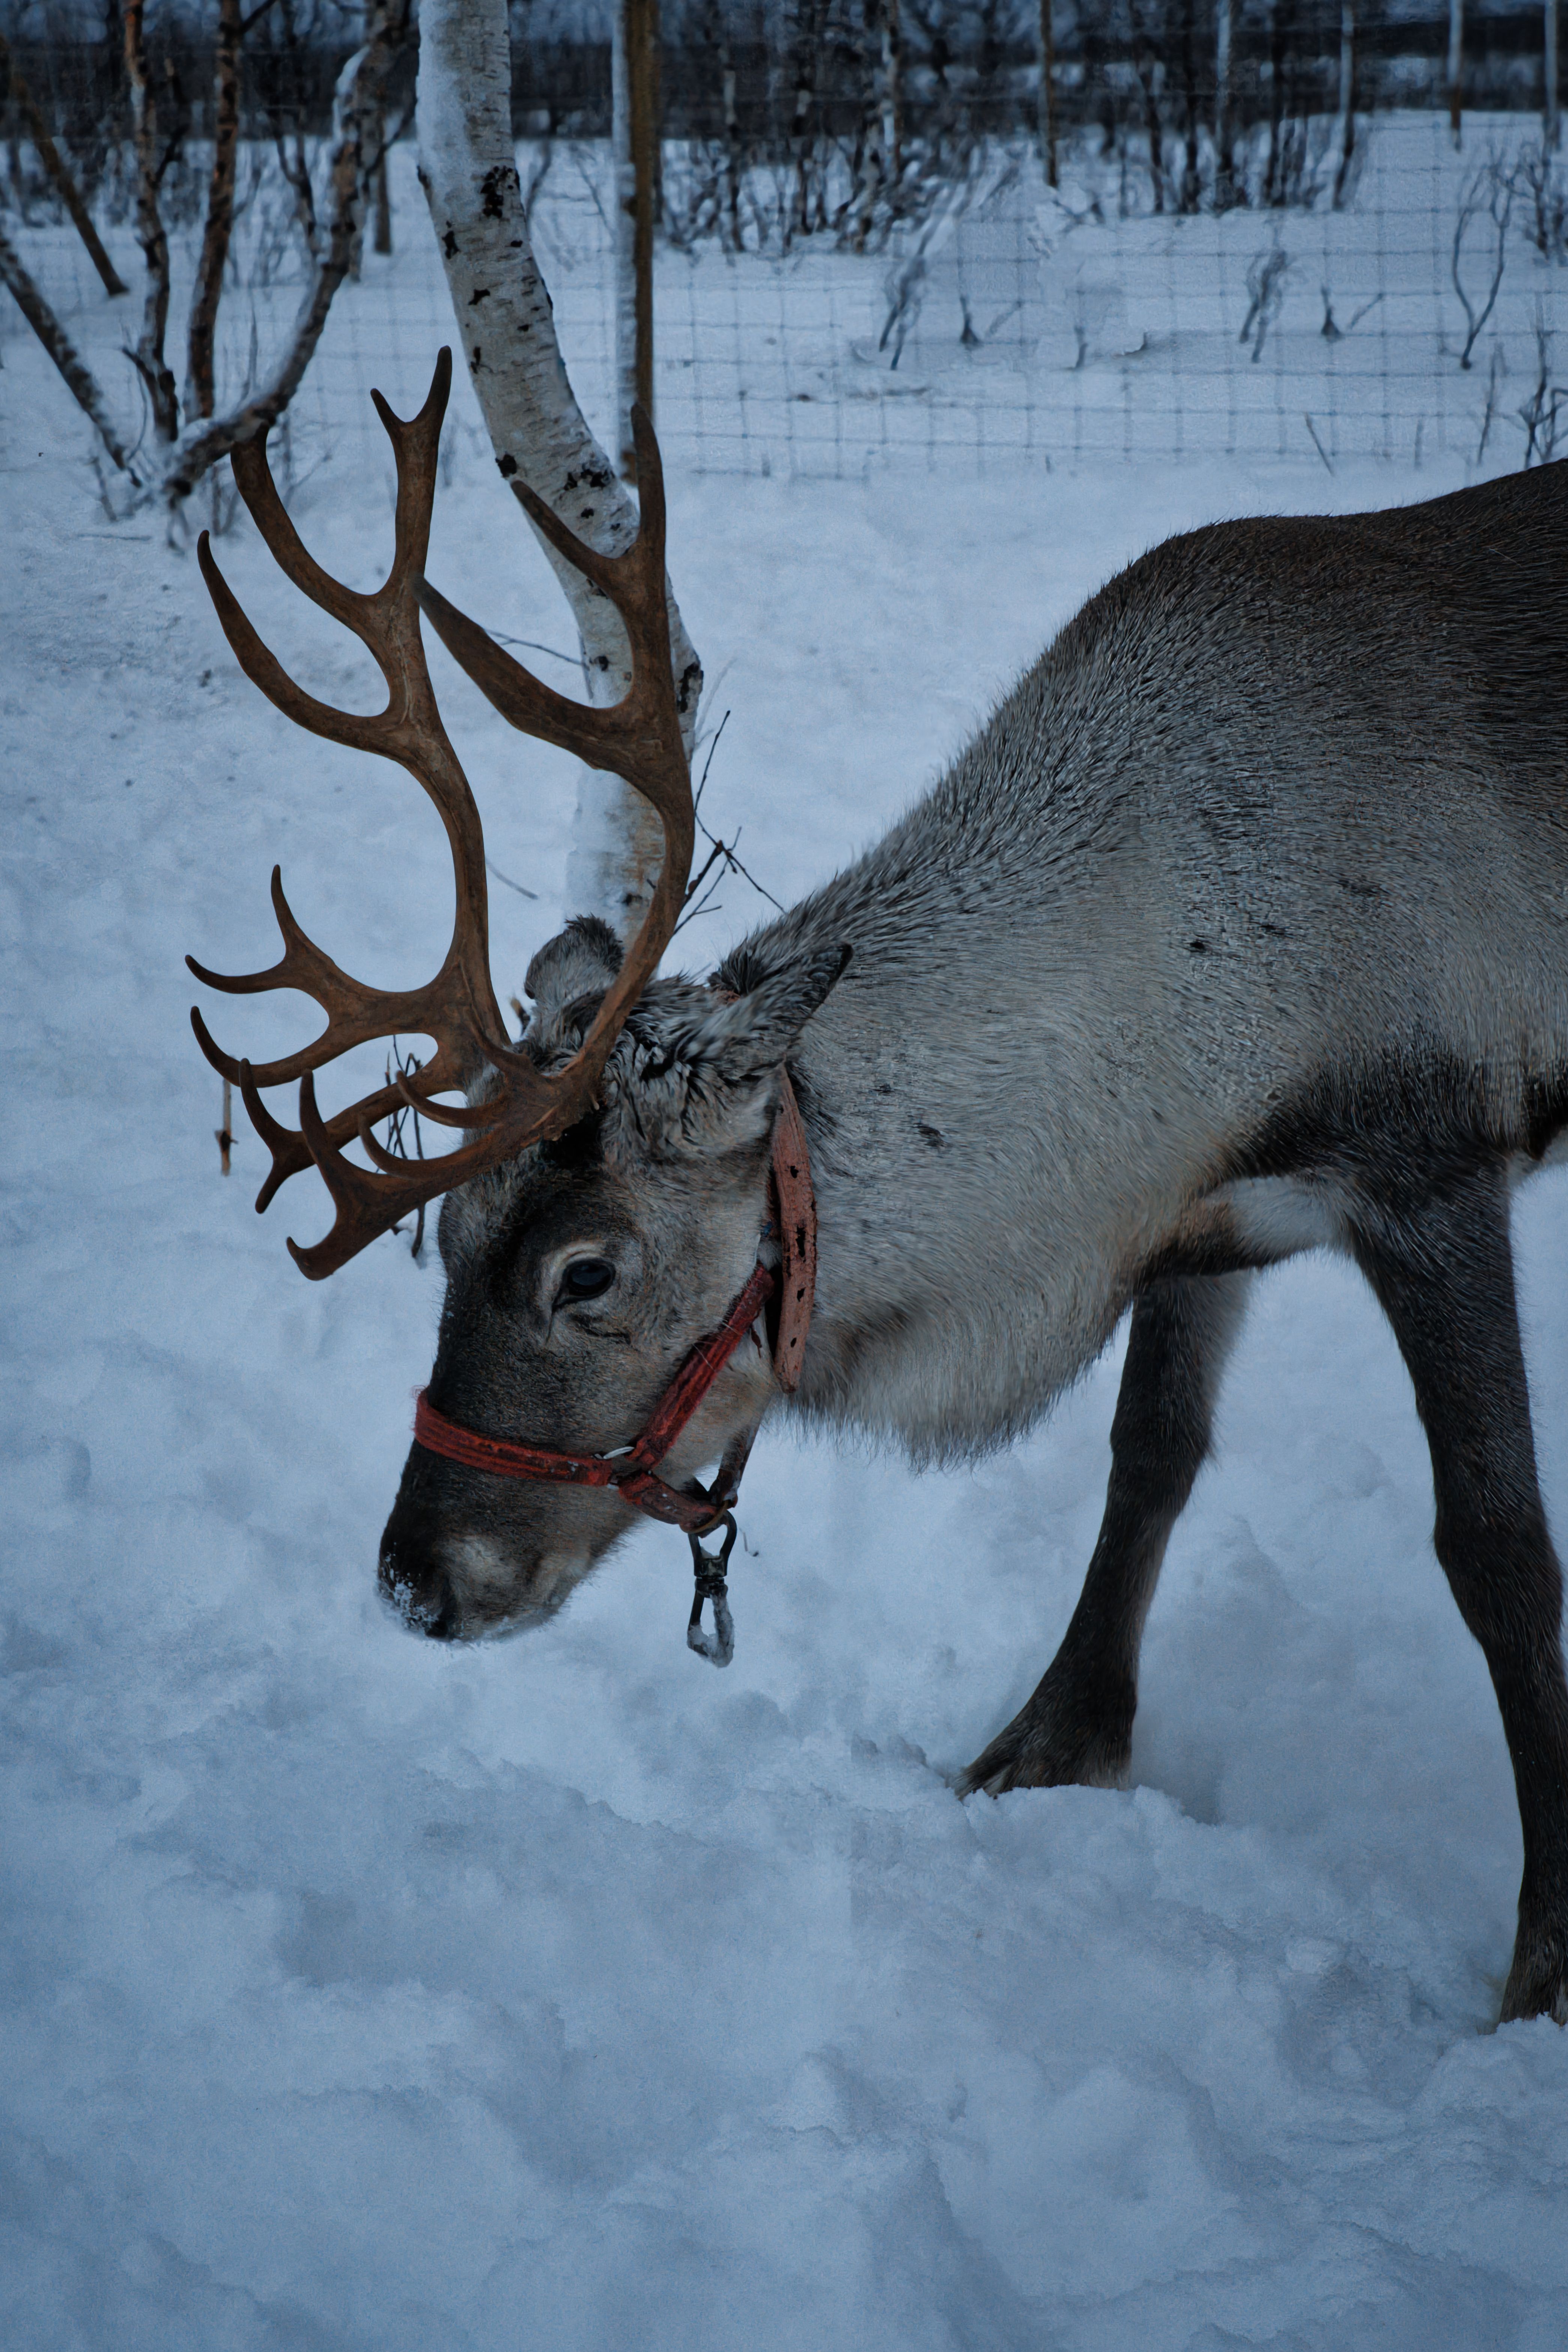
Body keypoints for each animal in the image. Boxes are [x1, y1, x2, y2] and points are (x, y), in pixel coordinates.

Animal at [189, 352, 1568, 2025]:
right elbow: (1149, 1459)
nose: (415, 1578)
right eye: (446, 1234)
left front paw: (1543, 1963)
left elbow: (1496, 1548)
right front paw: (1042, 1752)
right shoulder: (1203, 1224)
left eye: (587, 1271)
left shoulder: (1428, 1164)